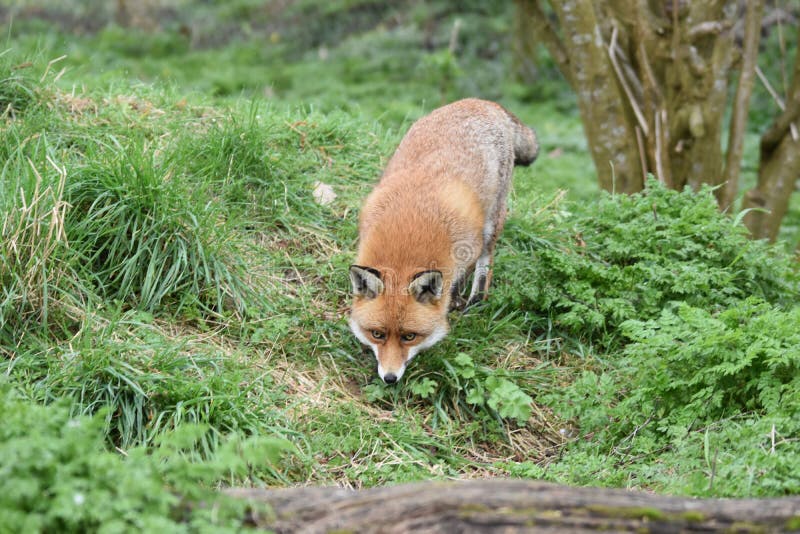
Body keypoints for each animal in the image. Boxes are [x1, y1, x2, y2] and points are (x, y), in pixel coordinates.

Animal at [349, 98, 539, 384]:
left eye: (409, 336)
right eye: (377, 334)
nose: (390, 378)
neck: (407, 236)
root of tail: (480, 102)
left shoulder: (467, 248)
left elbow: (460, 277)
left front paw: (455, 301)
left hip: (492, 220)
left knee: (486, 263)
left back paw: (475, 301)